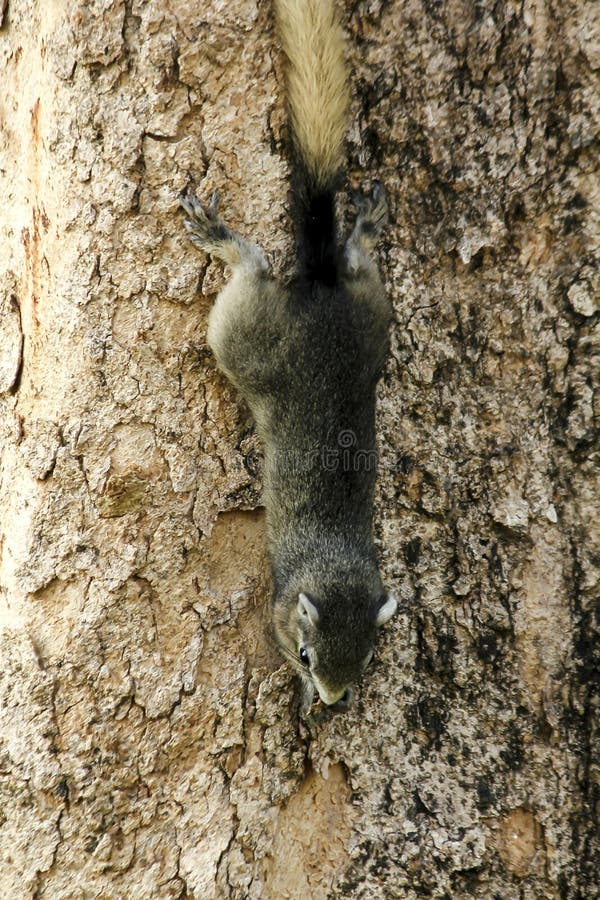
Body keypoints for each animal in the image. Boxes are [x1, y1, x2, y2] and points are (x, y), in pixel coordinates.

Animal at [180, 0, 397, 711]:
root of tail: (321, 285)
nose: (333, 701)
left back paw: (363, 229)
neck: (334, 562)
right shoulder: (276, 609)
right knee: (252, 271)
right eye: (306, 654)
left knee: (353, 263)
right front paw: (303, 698)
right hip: (243, 335)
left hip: (373, 318)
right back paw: (227, 241)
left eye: (367, 659)